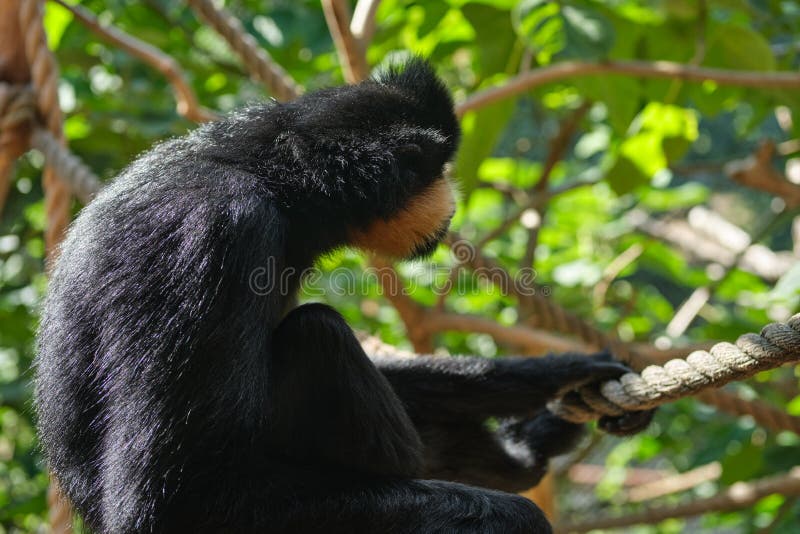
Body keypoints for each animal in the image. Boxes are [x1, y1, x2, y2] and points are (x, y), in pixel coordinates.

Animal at [35, 59, 652, 534]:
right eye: (440, 171)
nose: (453, 197)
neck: (267, 175)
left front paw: (563, 372)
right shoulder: (216, 231)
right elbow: (174, 507)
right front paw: (509, 512)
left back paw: (516, 457)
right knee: (317, 331)